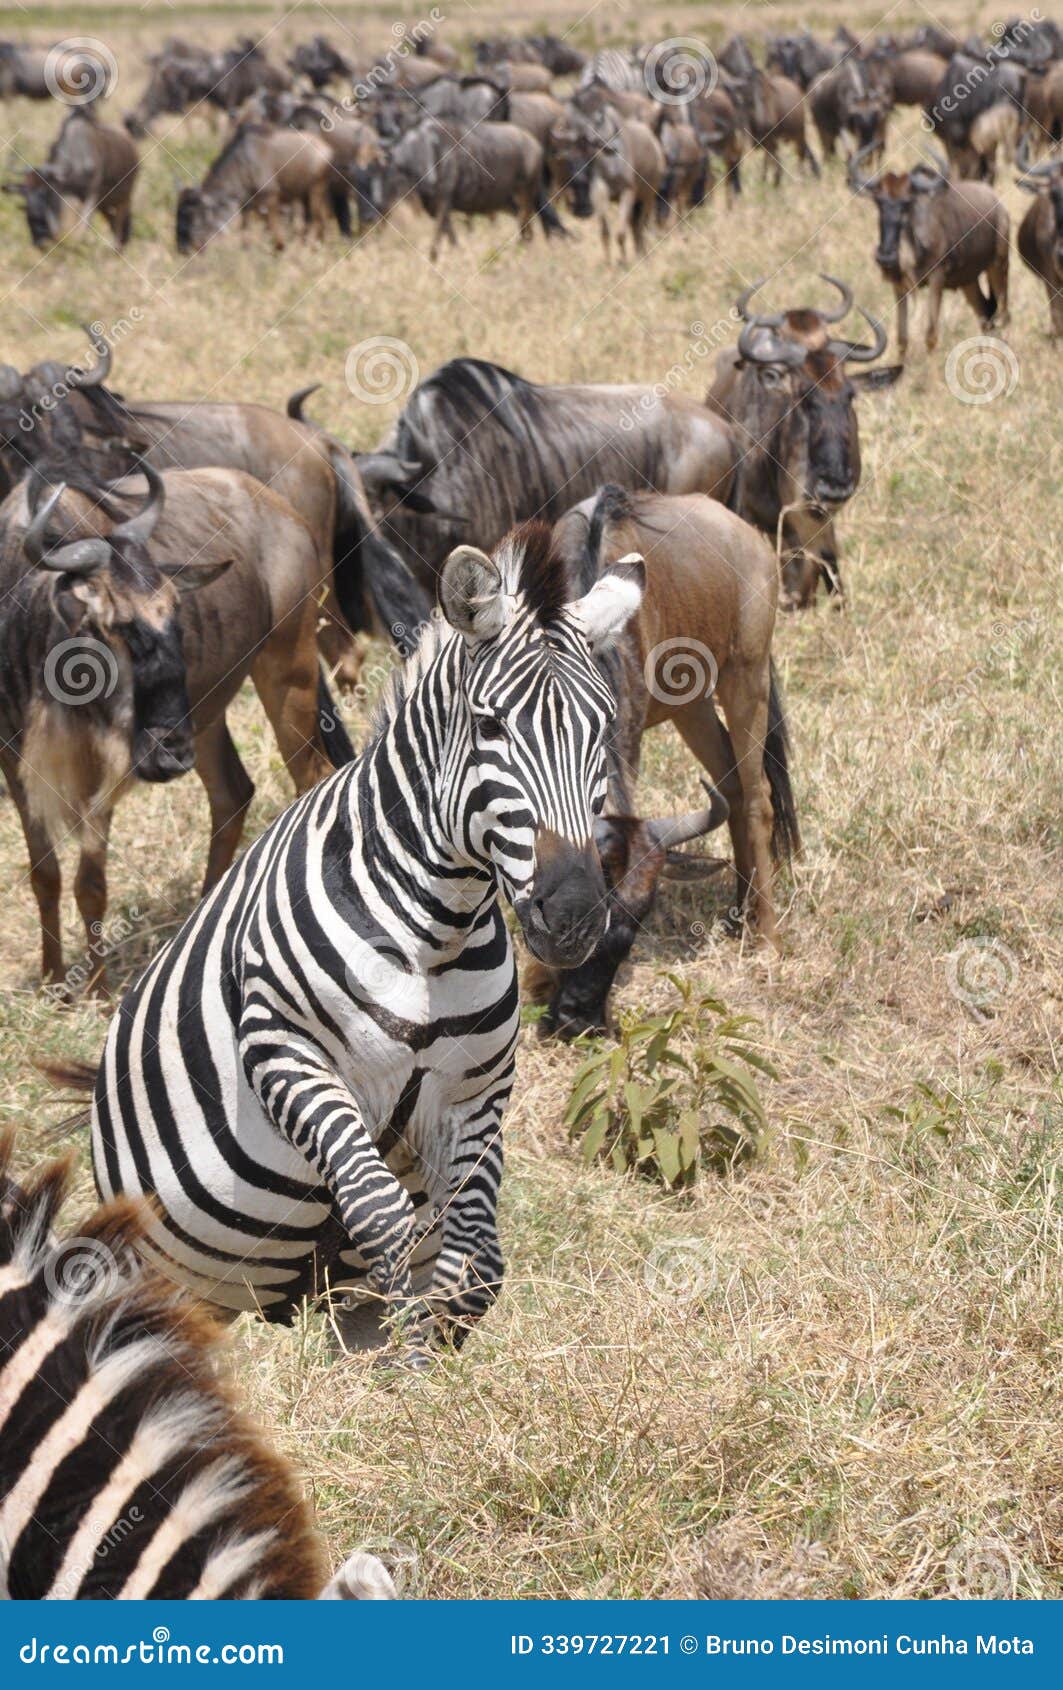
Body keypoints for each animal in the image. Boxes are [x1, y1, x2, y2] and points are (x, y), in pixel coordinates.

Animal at [90, 522, 645, 1358]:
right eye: (490, 726)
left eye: (603, 728)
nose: (575, 913)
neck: (436, 932)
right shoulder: (285, 1051)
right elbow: (382, 1210)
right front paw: (410, 1360)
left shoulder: (479, 1085)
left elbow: (476, 1258)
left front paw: (429, 1345)